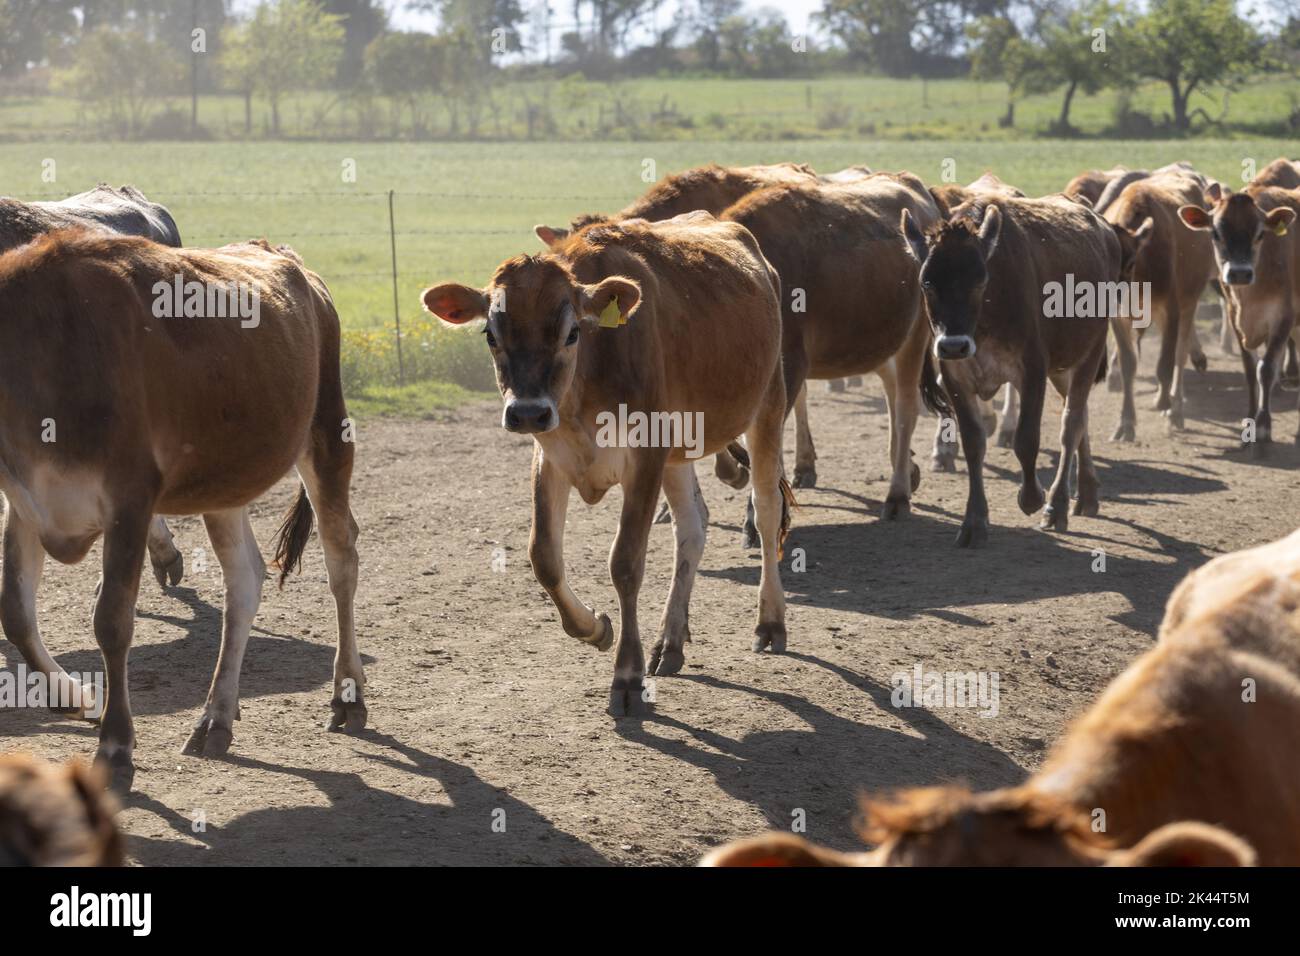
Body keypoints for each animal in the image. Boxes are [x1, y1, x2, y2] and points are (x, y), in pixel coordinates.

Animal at [0, 230, 365, 790]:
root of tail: (279, 252)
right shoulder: (26, 498)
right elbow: (15, 612)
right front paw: (74, 696)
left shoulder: (130, 495)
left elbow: (112, 619)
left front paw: (116, 746)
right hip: (226, 479)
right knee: (245, 579)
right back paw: (216, 716)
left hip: (327, 430)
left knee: (341, 557)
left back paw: (347, 693)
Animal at [421, 212, 791, 714]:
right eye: (491, 335)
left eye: (572, 332)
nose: (527, 412)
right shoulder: (550, 458)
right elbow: (544, 557)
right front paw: (595, 628)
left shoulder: (645, 457)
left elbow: (626, 562)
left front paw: (627, 674)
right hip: (678, 449)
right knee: (692, 527)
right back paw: (670, 641)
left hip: (768, 403)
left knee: (768, 512)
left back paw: (769, 622)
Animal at [902, 193, 1119, 545]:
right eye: (927, 282)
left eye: (980, 280)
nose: (953, 345)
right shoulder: (956, 379)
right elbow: (973, 443)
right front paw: (974, 521)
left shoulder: (1032, 370)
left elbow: (1026, 439)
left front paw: (1032, 497)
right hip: (1062, 368)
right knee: (1080, 416)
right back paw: (1087, 493)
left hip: (1090, 350)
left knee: (1071, 424)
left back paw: (1058, 505)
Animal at [1103, 169, 1215, 439]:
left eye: (1130, 262)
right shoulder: (1119, 318)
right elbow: (1128, 365)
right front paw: (1126, 422)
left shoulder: (1170, 308)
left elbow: (1165, 363)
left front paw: (1165, 402)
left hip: (1188, 302)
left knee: (1180, 354)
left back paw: (1175, 409)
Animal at [1179, 183, 1300, 450]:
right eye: (1215, 233)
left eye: (1260, 234)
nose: (1239, 273)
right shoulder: (1236, 318)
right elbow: (1250, 370)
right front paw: (1250, 425)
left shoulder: (1284, 318)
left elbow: (1266, 369)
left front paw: (1263, 428)